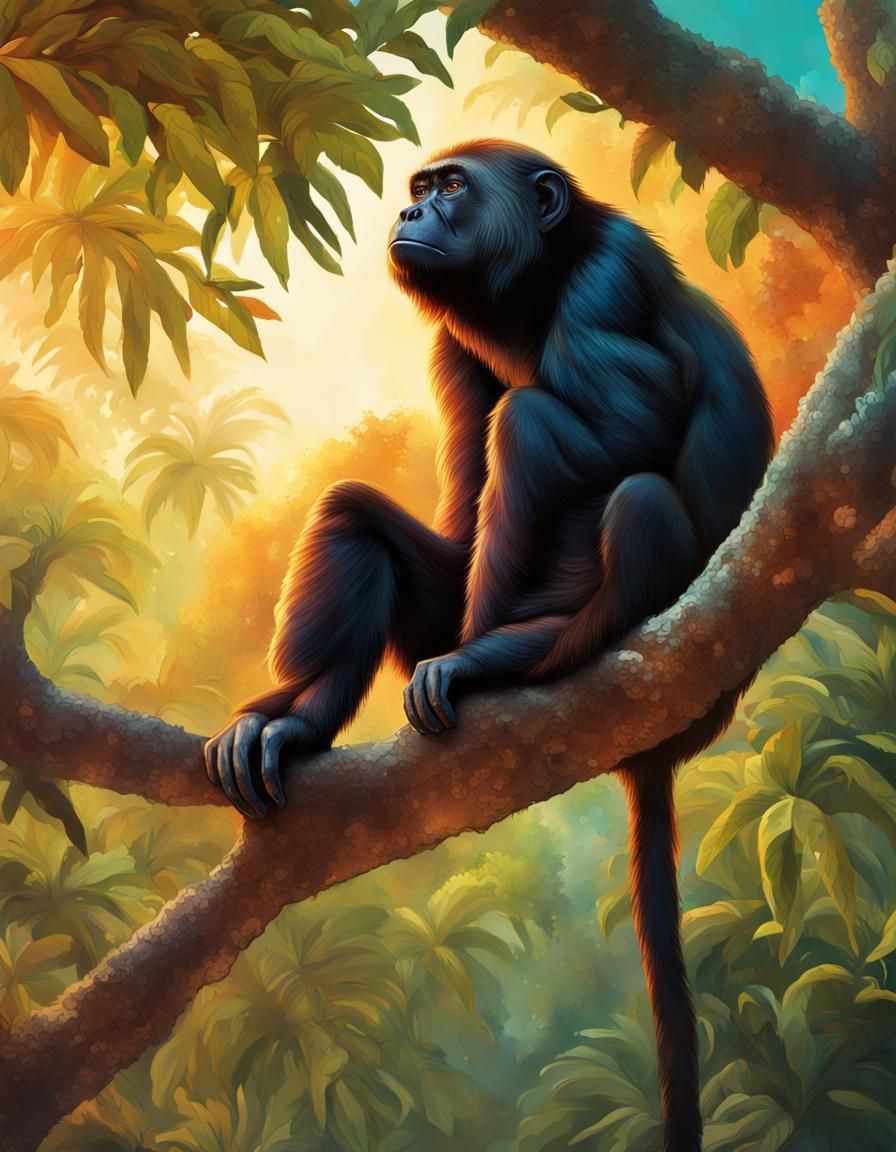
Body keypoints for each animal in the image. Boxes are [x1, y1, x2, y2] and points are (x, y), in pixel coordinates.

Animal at [204, 140, 773, 1152]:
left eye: (452, 189)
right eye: (421, 189)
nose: (409, 214)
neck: (530, 287)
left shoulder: (611, 273)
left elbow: (632, 423)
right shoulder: (453, 350)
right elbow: (461, 494)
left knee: (611, 482)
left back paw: (515, 657)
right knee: (361, 513)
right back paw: (302, 718)